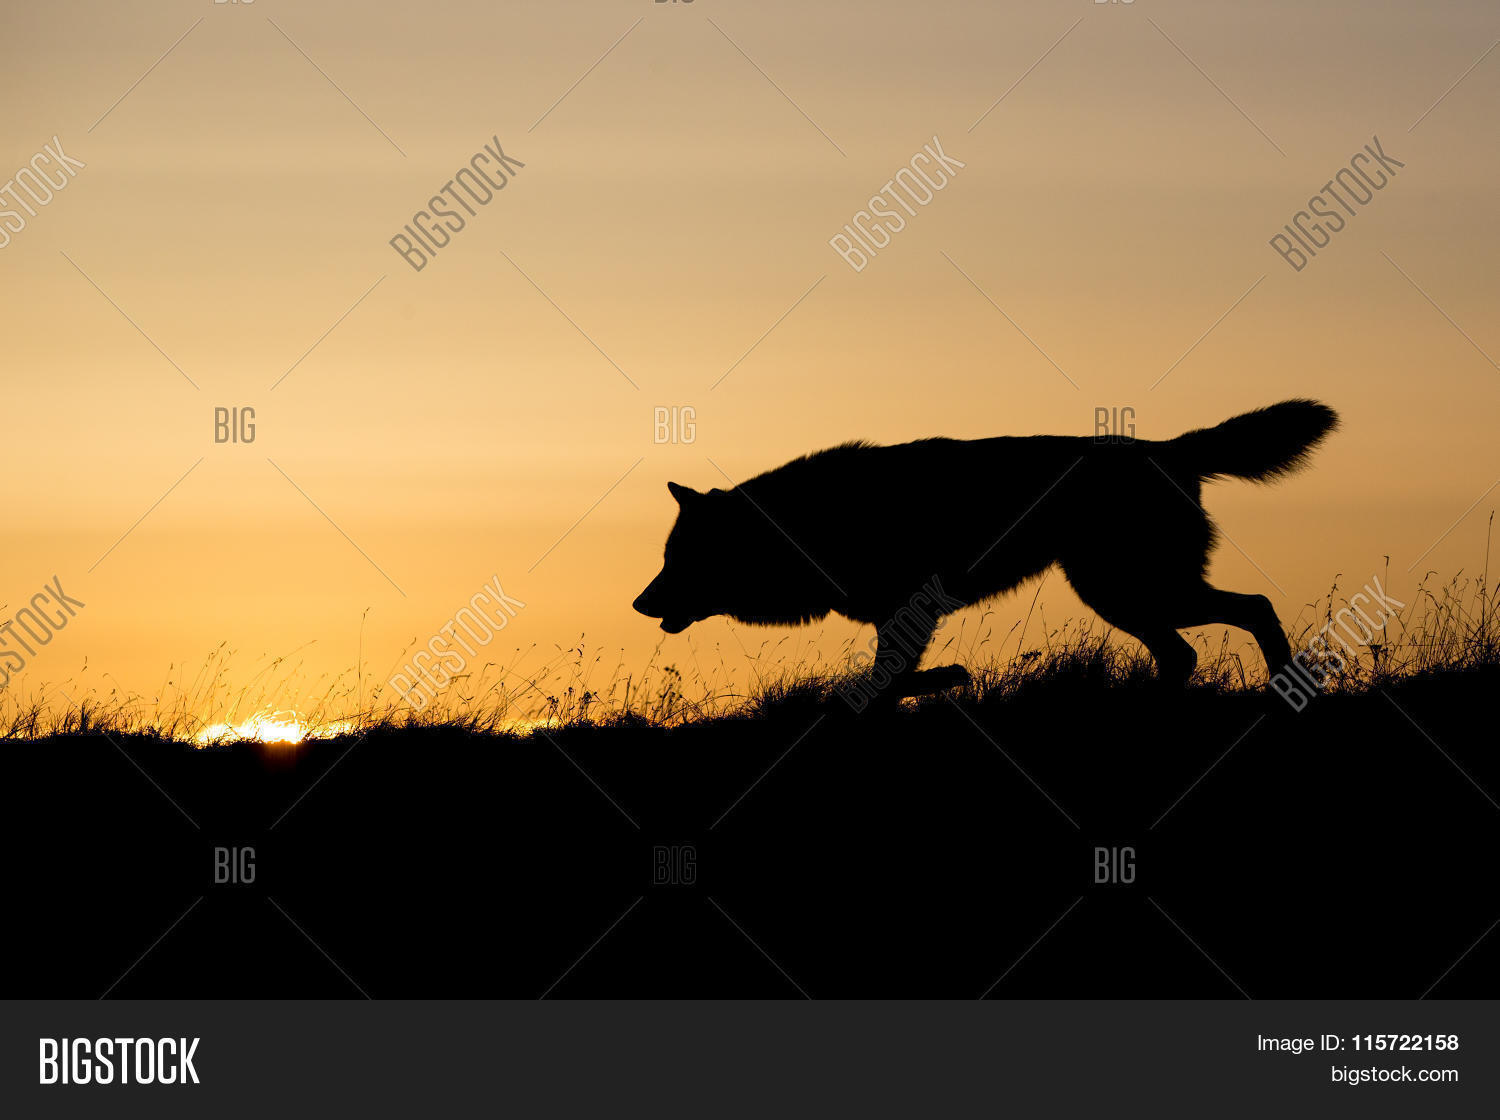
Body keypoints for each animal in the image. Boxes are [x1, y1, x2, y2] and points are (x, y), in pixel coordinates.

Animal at [633, 400, 1338, 695]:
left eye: (677, 560)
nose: (639, 605)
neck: (804, 528)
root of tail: (1166, 448)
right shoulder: (899, 616)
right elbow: (888, 681)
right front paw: (939, 681)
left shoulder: (908, 611)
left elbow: (886, 681)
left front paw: (943, 680)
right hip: (1125, 597)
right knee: (1189, 650)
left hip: (1130, 590)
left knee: (1249, 609)